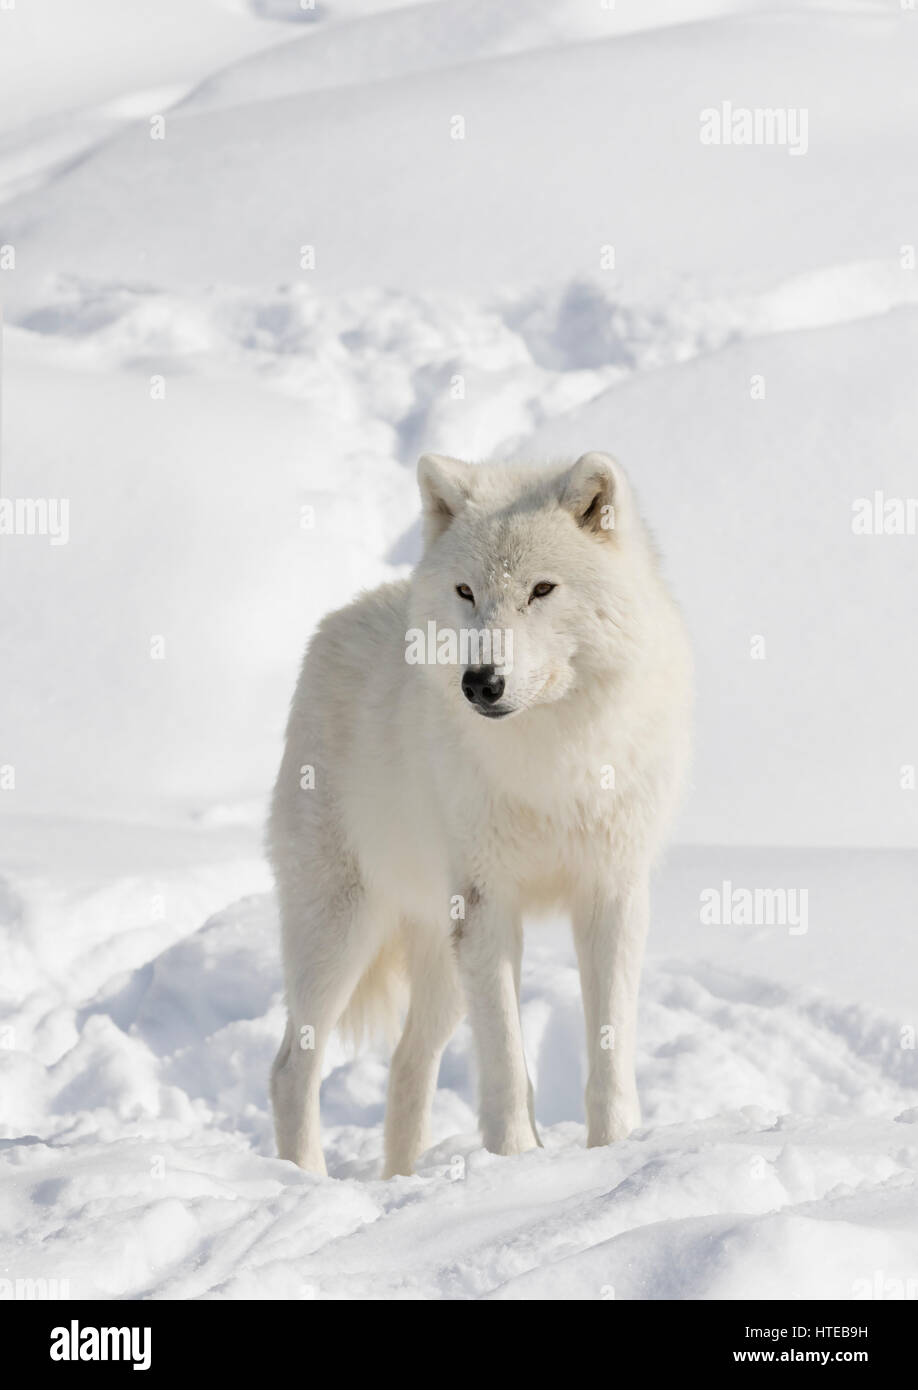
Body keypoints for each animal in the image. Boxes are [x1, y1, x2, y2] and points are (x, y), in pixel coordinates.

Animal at [268, 452, 692, 1177]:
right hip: (342, 931)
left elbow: (609, 1052)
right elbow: (506, 1064)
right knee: (292, 1068)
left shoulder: (611, 892)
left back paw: (403, 1182)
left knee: (406, 1064)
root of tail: (338, 618)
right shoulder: (489, 904)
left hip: (437, 959)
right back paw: (307, 1182)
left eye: (542, 590)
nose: (481, 682)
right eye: (467, 592)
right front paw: (518, 1159)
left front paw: (614, 1152)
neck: (554, 758)